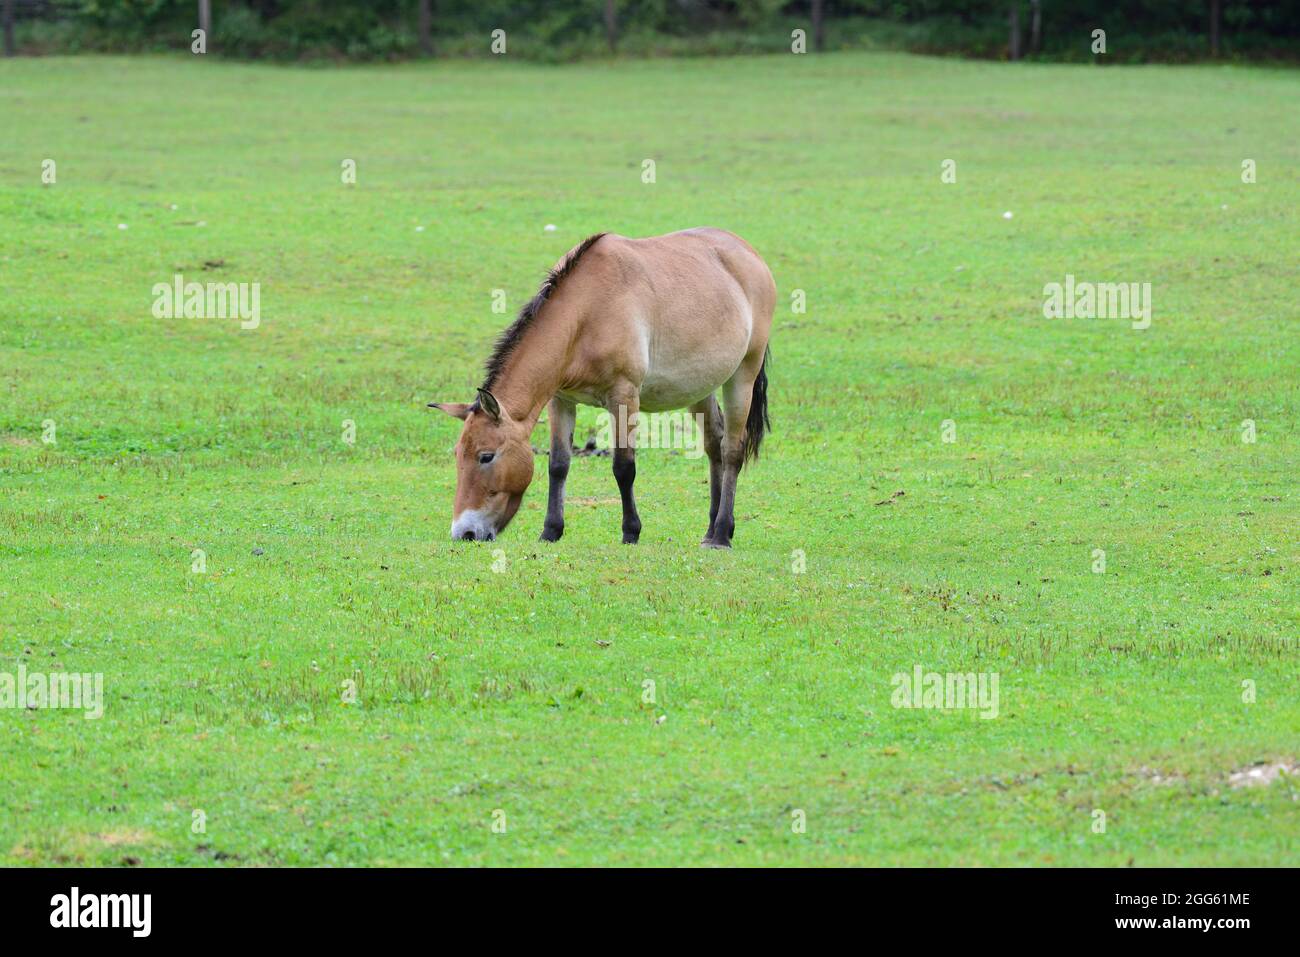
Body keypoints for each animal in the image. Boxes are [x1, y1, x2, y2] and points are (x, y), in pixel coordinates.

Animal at [429, 227, 774, 549]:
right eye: (458, 454)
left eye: (486, 456)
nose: (465, 533)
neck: (587, 314)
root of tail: (749, 254)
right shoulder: (560, 399)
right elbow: (558, 464)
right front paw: (550, 531)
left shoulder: (624, 396)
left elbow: (624, 467)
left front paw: (631, 532)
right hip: (702, 388)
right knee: (714, 445)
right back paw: (710, 530)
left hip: (742, 376)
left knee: (731, 450)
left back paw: (722, 534)